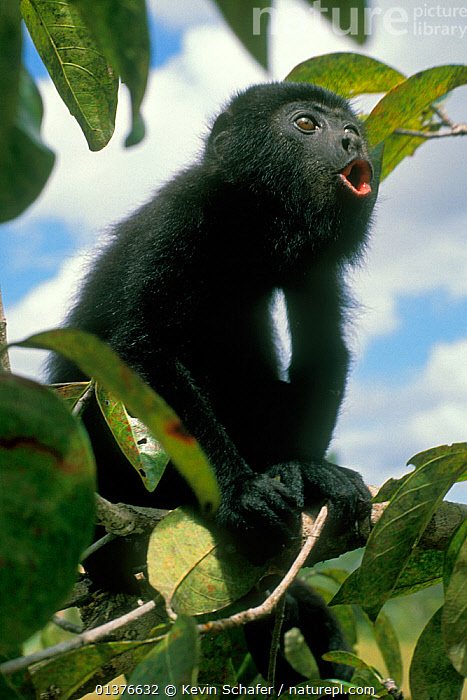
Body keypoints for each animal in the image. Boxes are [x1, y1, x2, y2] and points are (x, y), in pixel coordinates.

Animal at [48, 82, 379, 687]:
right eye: (306, 124)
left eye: (351, 127)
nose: (351, 141)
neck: (251, 230)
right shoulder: (182, 216)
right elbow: (143, 348)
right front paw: (238, 493)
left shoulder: (315, 263)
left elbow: (323, 353)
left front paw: (310, 470)